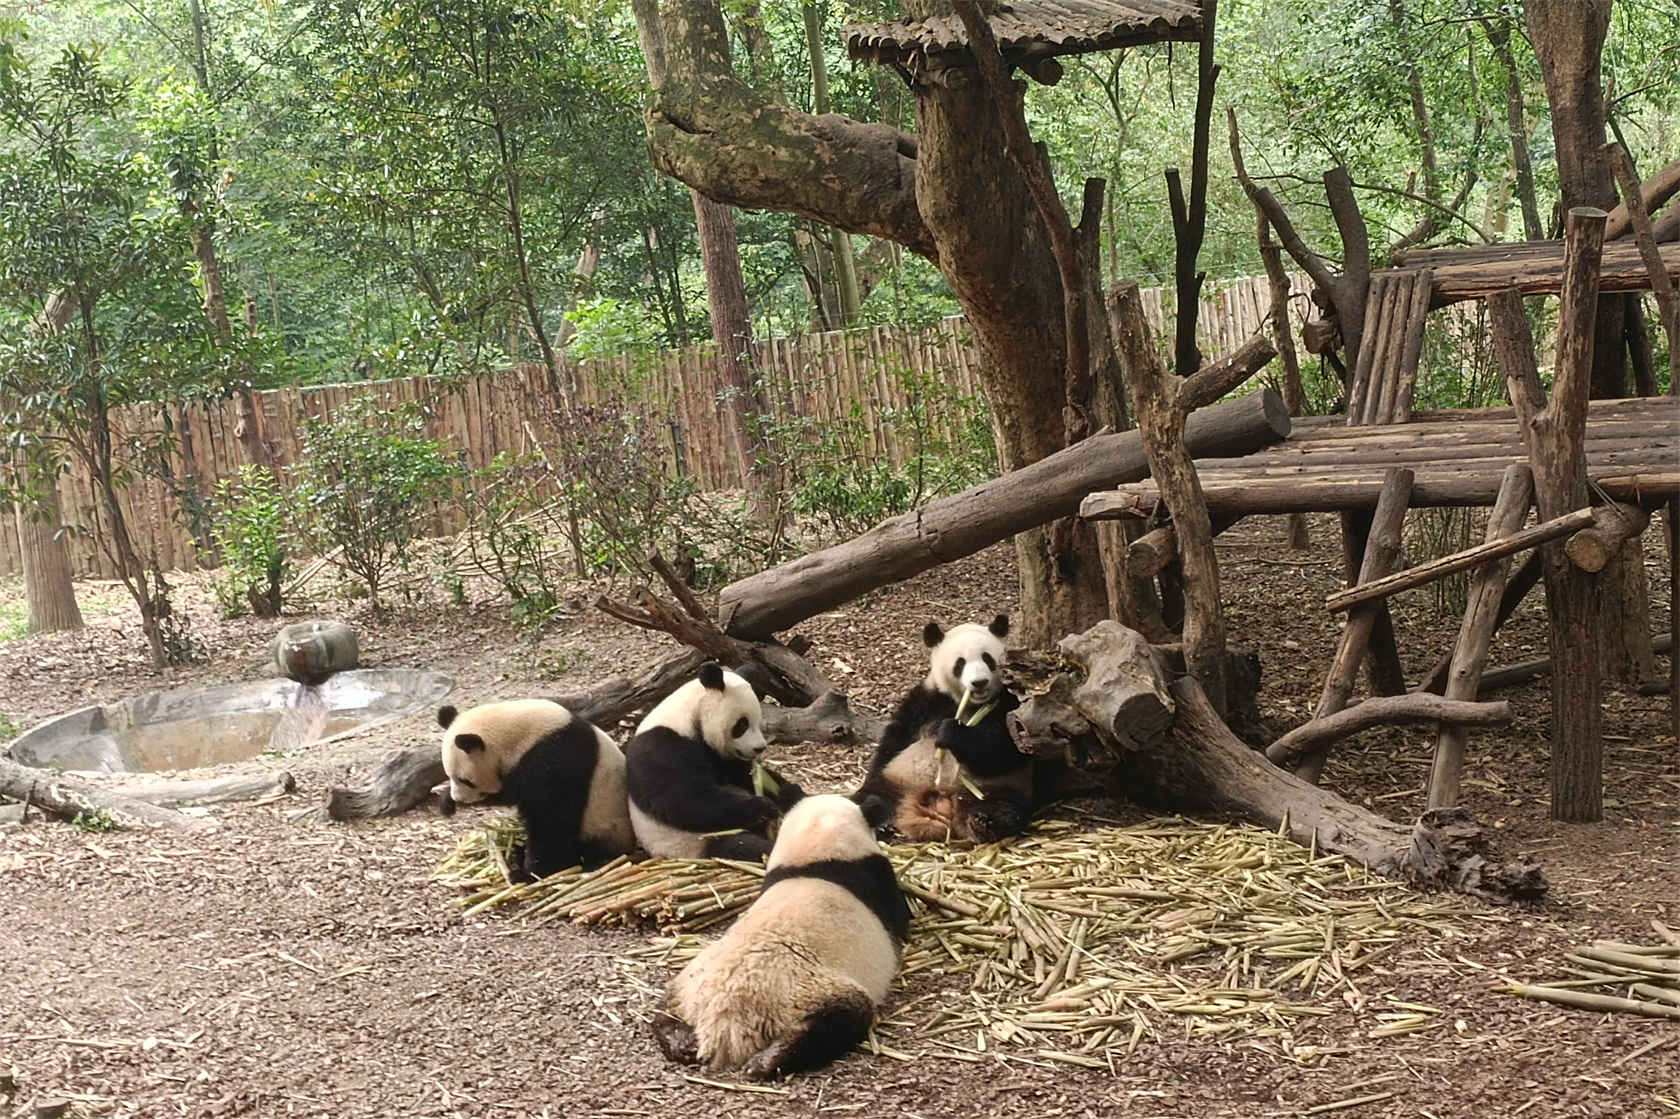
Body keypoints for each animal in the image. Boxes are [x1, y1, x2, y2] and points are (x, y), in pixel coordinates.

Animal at [438, 699, 635, 881]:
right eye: (449, 774)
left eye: (466, 780)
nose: (459, 799)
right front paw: (447, 802)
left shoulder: (553, 760)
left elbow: (549, 818)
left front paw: (530, 874)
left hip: (604, 826)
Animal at [624, 662, 805, 862]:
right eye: (742, 725)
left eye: (758, 721)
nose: (760, 748)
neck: (688, 716)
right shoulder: (662, 747)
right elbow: (686, 800)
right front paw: (764, 807)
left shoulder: (720, 756)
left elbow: (742, 775)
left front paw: (790, 792)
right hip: (694, 842)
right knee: (740, 846)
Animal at [650, 793, 909, 1079]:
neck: (815, 857)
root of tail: (724, 1019)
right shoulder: (875, 876)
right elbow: (901, 916)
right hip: (807, 993)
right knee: (839, 1019)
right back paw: (768, 1061)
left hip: (692, 980)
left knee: (665, 1007)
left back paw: (679, 1041)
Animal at [856, 613, 1036, 843]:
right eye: (960, 663)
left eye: (987, 658)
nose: (979, 682)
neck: (968, 703)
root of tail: (941, 801)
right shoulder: (927, 700)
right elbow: (896, 738)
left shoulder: (1009, 701)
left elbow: (1006, 747)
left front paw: (951, 733)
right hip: (896, 778)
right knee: (870, 796)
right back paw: (881, 822)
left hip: (993, 788)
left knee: (1004, 807)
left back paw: (984, 823)